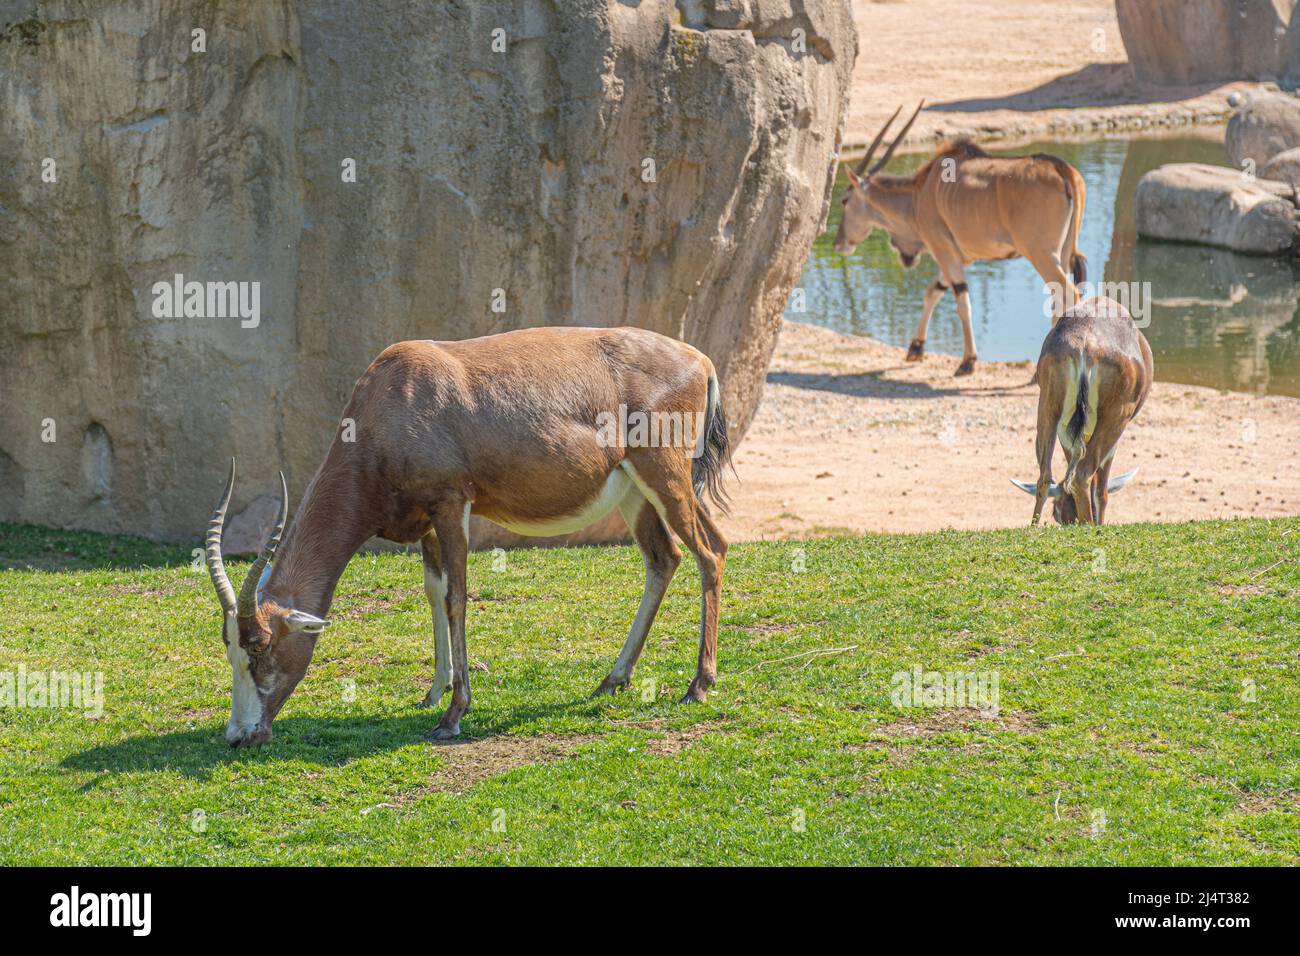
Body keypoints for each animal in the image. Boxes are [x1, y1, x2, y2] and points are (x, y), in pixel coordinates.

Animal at [203, 326, 732, 746]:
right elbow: (433, 593)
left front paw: (453, 716)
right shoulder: (426, 524)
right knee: (664, 558)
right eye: (229, 646)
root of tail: (700, 361)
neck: (394, 395)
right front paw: (433, 693)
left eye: (260, 647)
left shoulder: (451, 505)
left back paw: (698, 686)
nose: (239, 737)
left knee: (712, 550)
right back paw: (611, 680)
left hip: (665, 476)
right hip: (633, 490)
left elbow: (456, 597)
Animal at [832, 103, 1088, 376]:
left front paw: (967, 361)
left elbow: (962, 302)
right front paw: (916, 348)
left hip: (1041, 255)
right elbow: (932, 292)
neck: (919, 194)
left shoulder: (944, 251)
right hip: (1061, 253)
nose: (838, 242)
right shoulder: (961, 257)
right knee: (1058, 298)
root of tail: (1062, 169)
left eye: (845, 200)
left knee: (1069, 294)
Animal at [1011, 297, 1153, 525]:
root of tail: (1084, 344)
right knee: (1083, 476)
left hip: (1049, 409)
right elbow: (1101, 490)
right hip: (1116, 417)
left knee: (1045, 476)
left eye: (1057, 514)